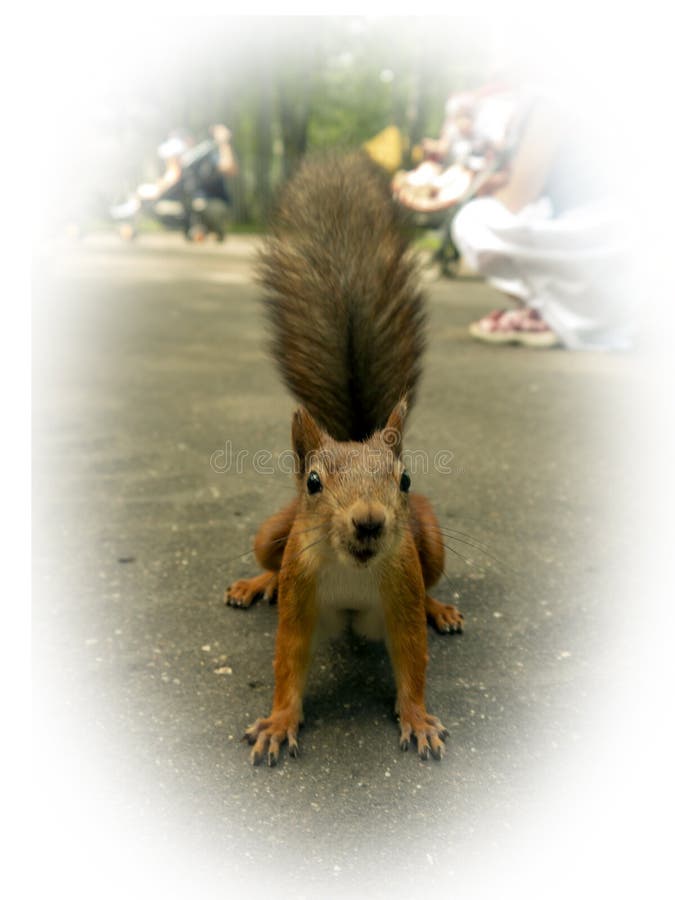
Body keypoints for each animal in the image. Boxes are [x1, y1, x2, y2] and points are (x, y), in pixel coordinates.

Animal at [226, 152, 464, 766]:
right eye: (313, 482)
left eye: (405, 480)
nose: (369, 521)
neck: (353, 572)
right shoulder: (300, 593)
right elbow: (288, 663)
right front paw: (278, 722)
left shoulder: (401, 585)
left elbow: (413, 660)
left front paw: (417, 719)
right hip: (272, 531)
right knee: (267, 560)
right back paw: (256, 584)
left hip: (430, 541)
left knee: (432, 584)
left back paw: (440, 608)